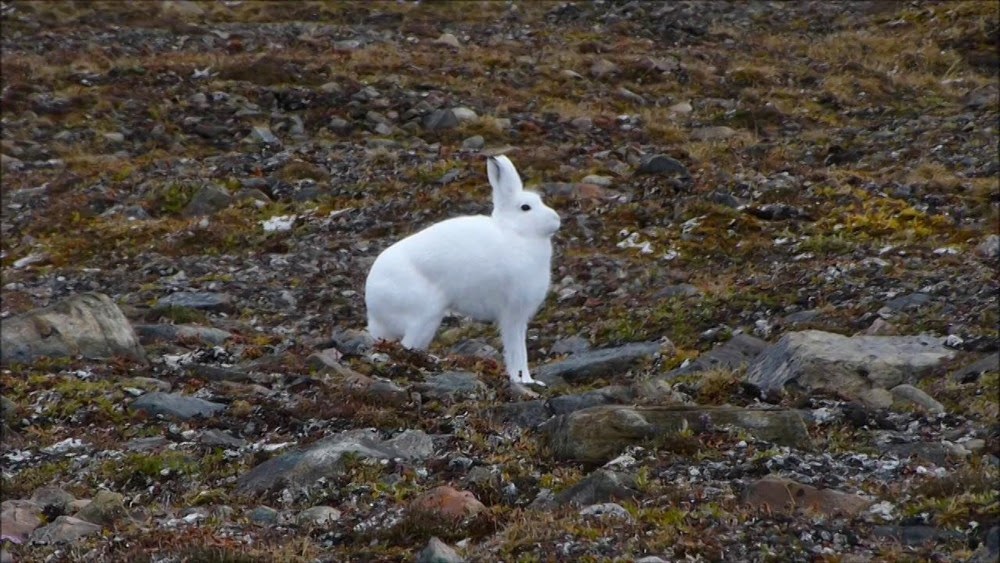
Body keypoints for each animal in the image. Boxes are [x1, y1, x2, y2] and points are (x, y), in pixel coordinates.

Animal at [365, 155, 561, 386]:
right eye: (525, 207)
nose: (556, 219)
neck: (517, 233)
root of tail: (373, 304)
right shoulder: (513, 313)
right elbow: (516, 350)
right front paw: (523, 380)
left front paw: (530, 380)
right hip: (423, 316)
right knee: (407, 346)